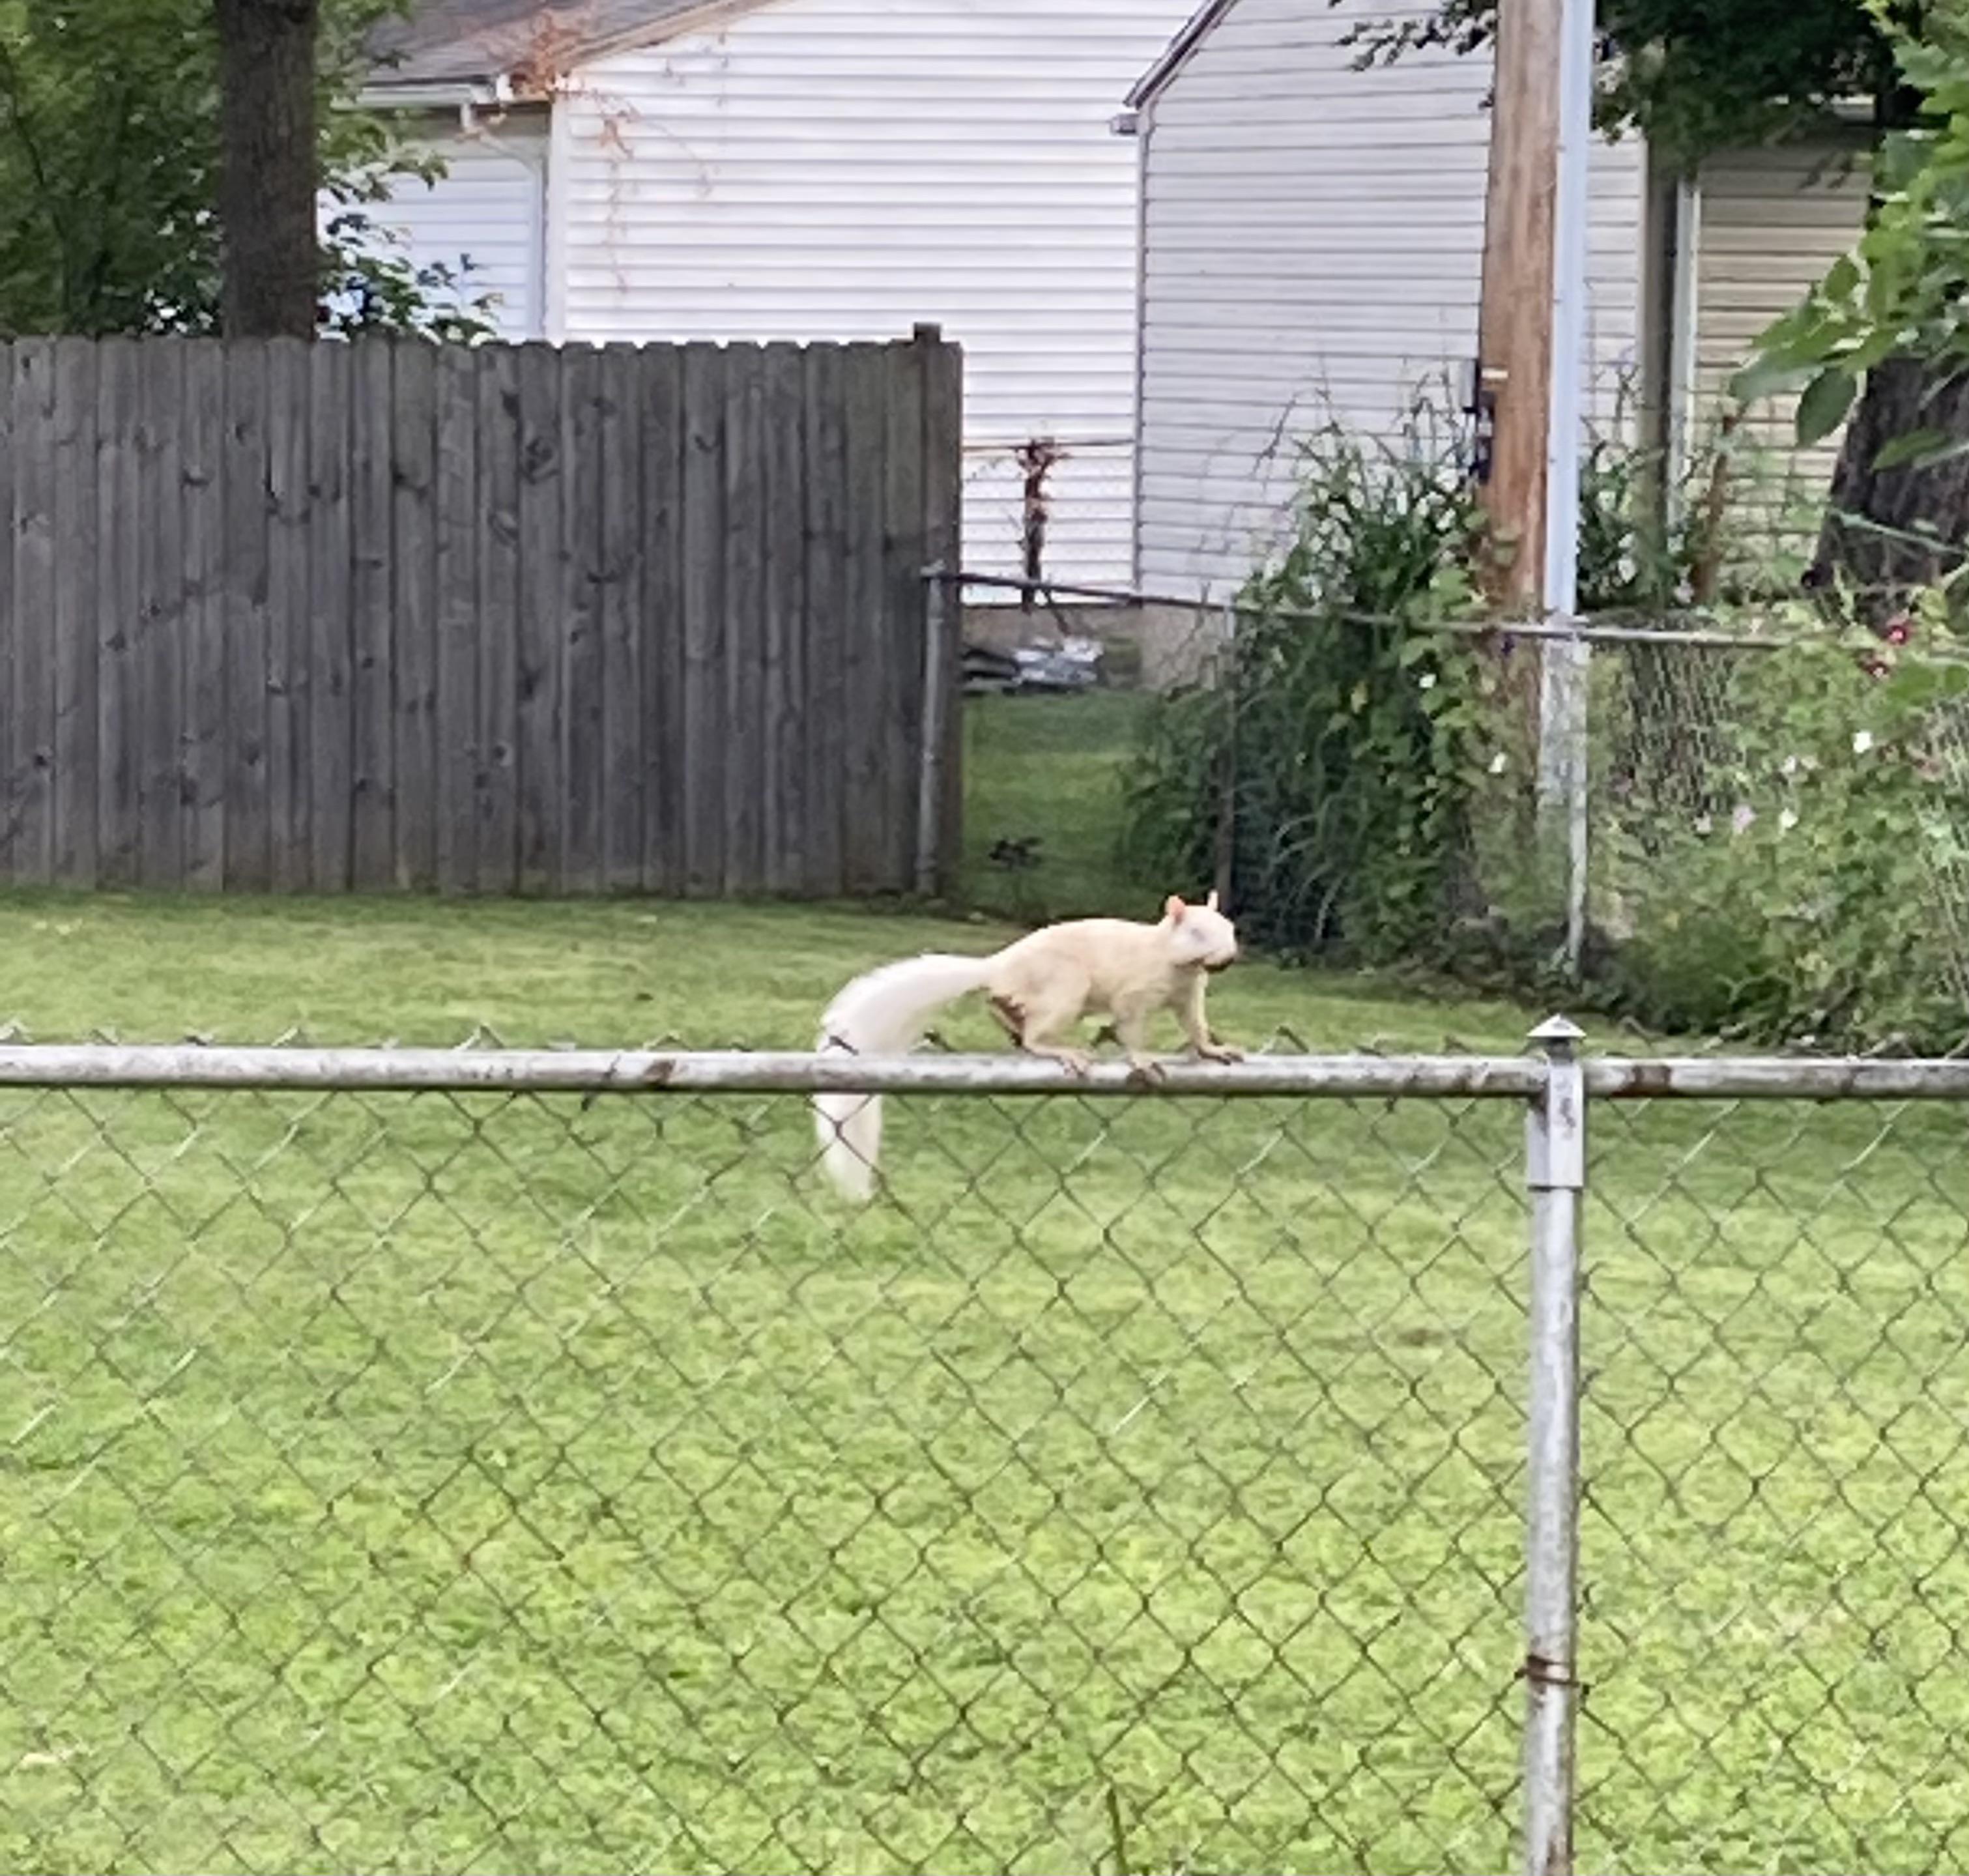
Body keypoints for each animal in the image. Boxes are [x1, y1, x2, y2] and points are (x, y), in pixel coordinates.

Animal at [813, 891, 1242, 1201]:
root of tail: (999, 966)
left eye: (1232, 929)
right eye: (1197, 934)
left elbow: (1197, 1027)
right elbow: (1132, 1029)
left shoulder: (1189, 997)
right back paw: (1060, 1050)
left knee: (1006, 1012)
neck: (1178, 966)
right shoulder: (1134, 994)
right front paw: (1142, 1059)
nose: (1228, 958)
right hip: (1067, 987)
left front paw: (1214, 1050)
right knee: (1037, 1036)